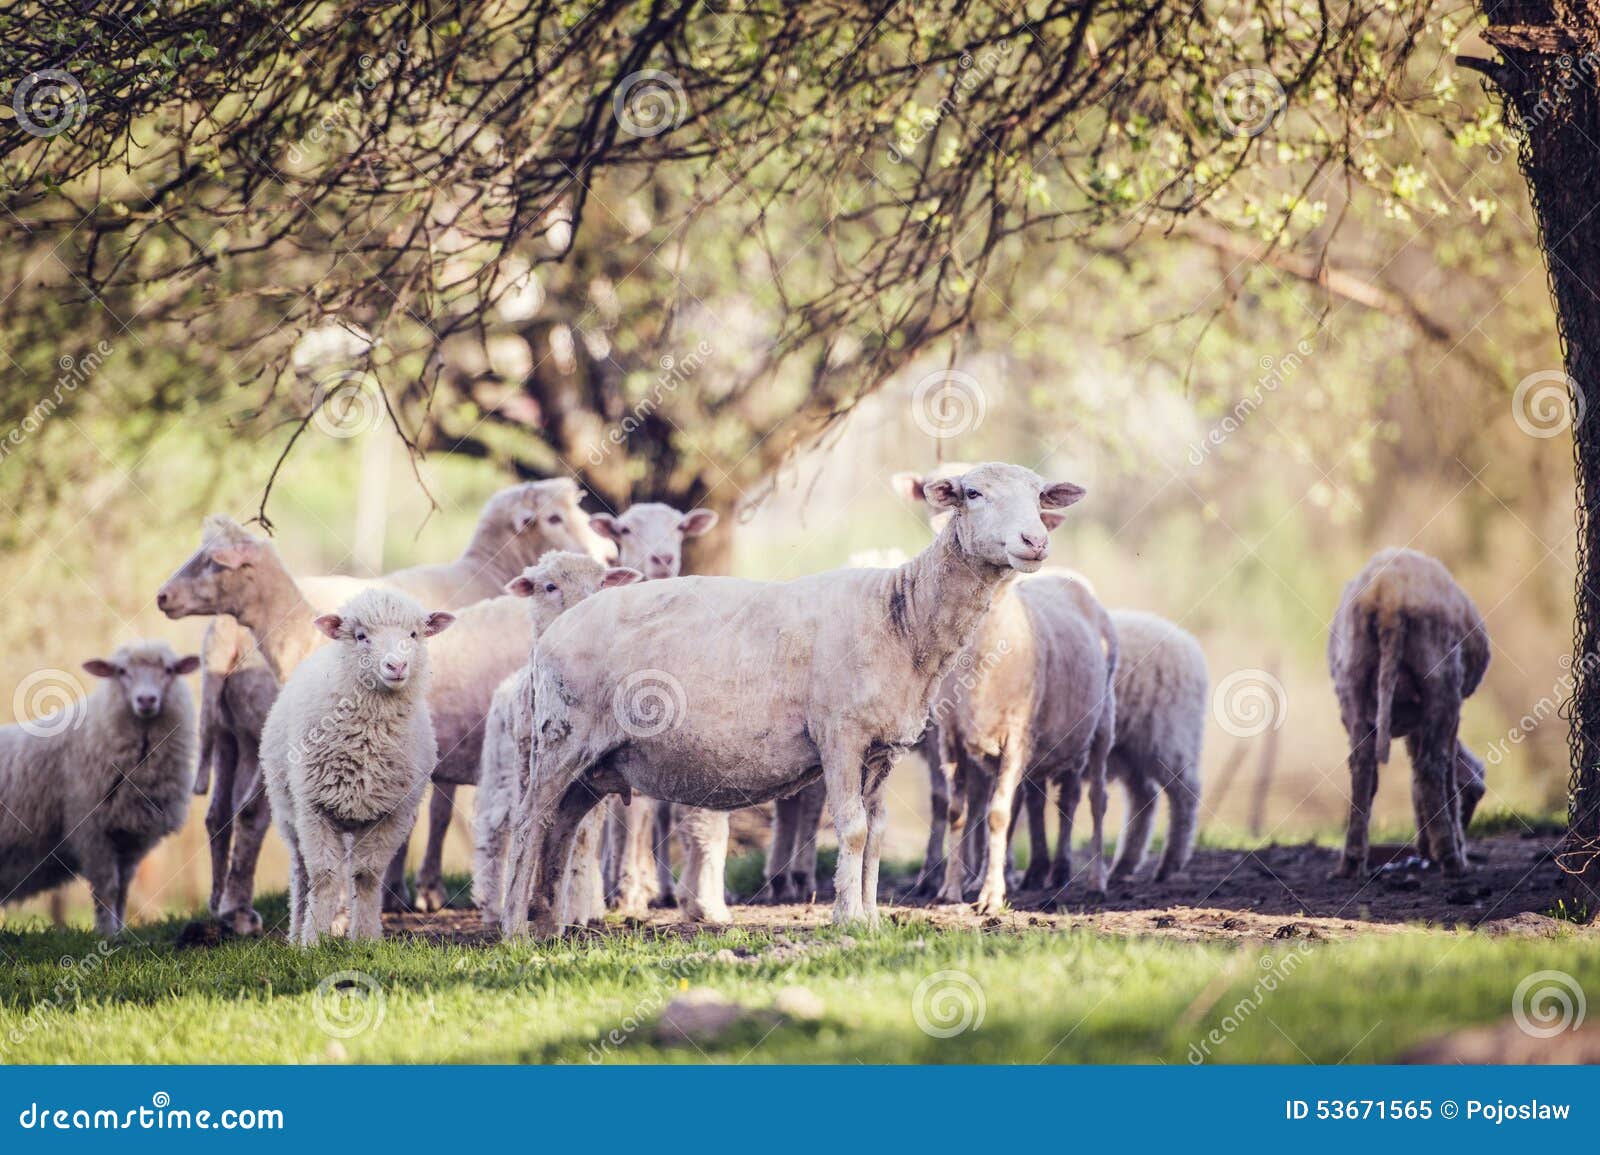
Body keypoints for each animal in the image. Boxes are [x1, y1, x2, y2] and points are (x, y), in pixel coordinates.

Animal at [0, 642, 199, 936]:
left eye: (169, 670)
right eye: (121, 671)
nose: (146, 700)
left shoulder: (130, 837)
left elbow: (123, 889)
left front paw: (119, 930)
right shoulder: (93, 831)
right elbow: (108, 887)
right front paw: (107, 933)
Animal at [260, 588, 454, 944]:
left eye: (413, 634)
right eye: (361, 636)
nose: (396, 665)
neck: (366, 741)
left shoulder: (391, 814)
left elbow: (366, 875)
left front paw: (364, 938)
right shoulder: (314, 809)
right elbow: (323, 876)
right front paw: (313, 942)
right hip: (288, 811)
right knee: (301, 872)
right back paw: (295, 933)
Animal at [472, 552, 641, 926]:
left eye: (602, 584)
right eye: (550, 587)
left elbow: (580, 839)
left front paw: (574, 909)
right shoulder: (530, 769)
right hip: (500, 769)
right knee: (492, 829)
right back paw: (491, 906)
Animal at [1327, 547, 1490, 879]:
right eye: (1474, 796)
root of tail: (1388, 596)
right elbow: (1445, 773)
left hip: (1352, 678)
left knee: (1362, 766)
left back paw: (1352, 861)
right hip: (1440, 678)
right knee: (1431, 766)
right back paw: (1452, 858)